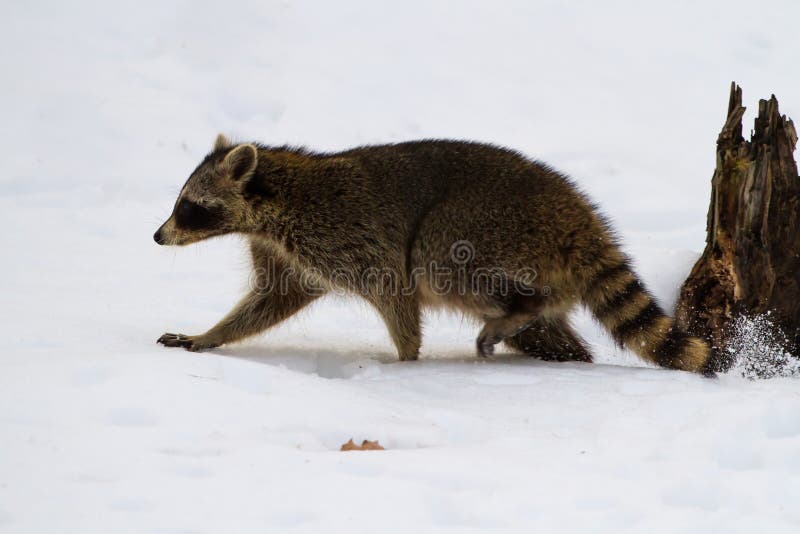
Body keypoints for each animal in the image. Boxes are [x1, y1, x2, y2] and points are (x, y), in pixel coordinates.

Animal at [154, 134, 713, 374]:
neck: (280, 193)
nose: (158, 237)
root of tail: (580, 219)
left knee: (436, 258)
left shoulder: (345, 234)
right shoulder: (286, 252)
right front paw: (211, 335)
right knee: (550, 330)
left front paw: (407, 360)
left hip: (487, 228)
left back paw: (519, 311)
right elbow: (272, 300)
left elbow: (395, 289)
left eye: (189, 207)